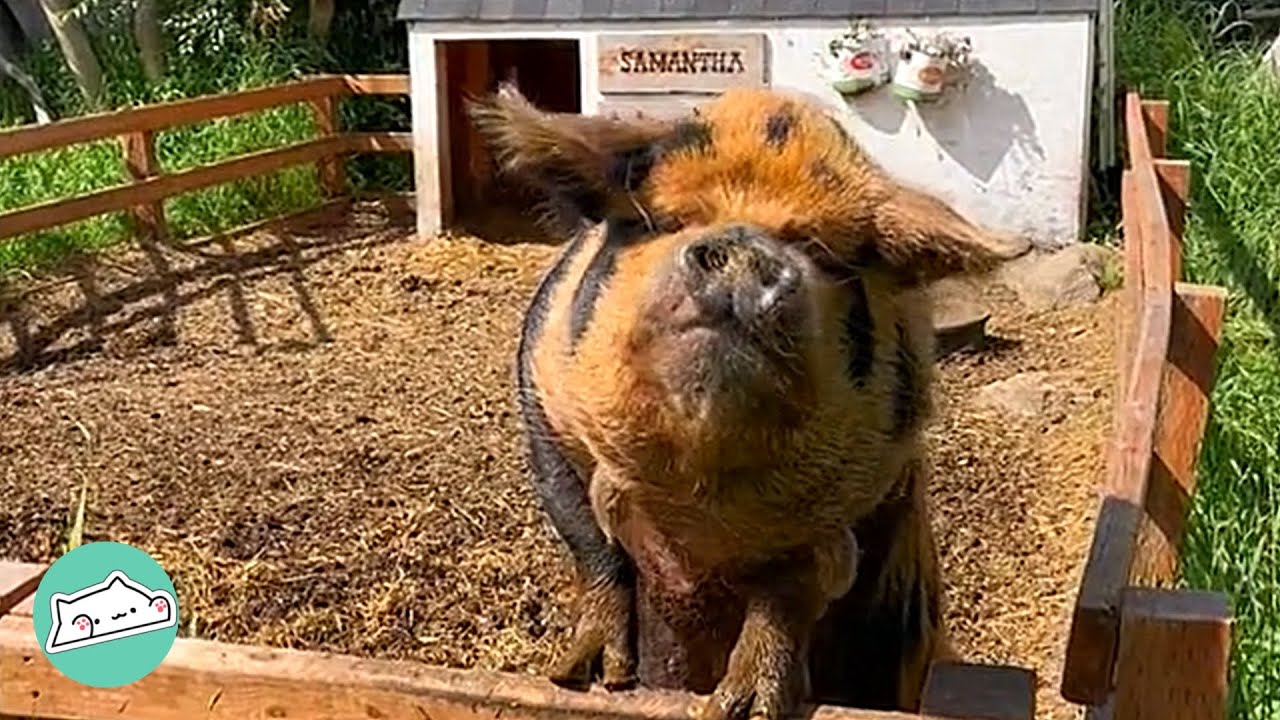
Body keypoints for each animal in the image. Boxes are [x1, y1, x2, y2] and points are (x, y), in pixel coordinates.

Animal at [467, 85, 1024, 719]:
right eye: (670, 219)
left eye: (818, 248)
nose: (743, 248)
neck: (702, 502)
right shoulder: (544, 404)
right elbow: (587, 535)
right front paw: (586, 680)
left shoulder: (861, 496)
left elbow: (791, 590)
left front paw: (741, 707)